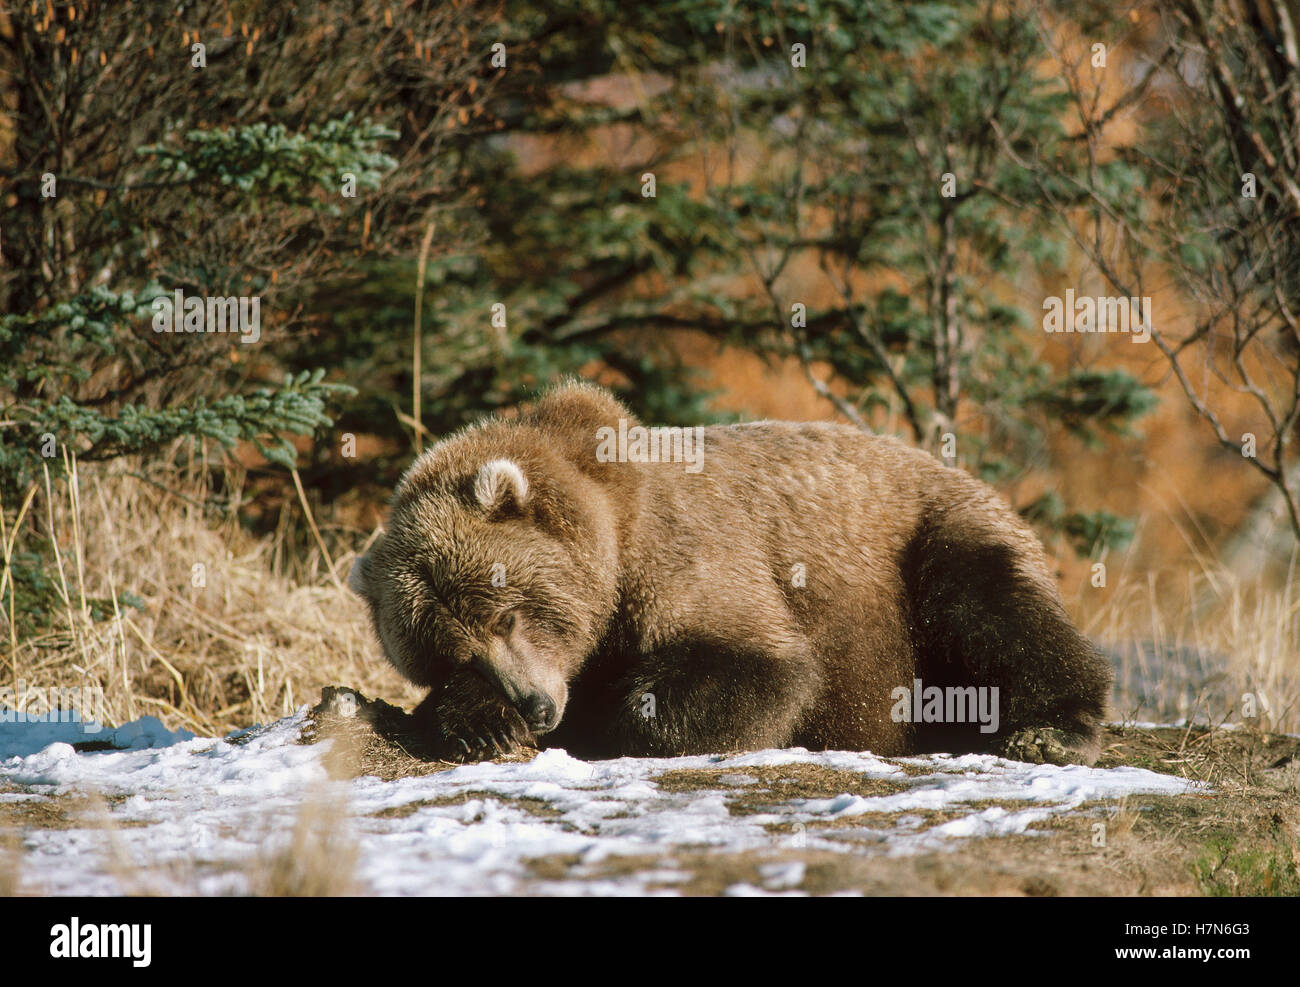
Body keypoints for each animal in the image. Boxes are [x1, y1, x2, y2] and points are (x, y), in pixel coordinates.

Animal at [348, 380, 1112, 766]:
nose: (535, 704)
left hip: (929, 538)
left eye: (507, 612)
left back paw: (1050, 727)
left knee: (987, 604)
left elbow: (758, 665)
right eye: (455, 652)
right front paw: (483, 723)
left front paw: (613, 718)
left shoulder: (685, 549)